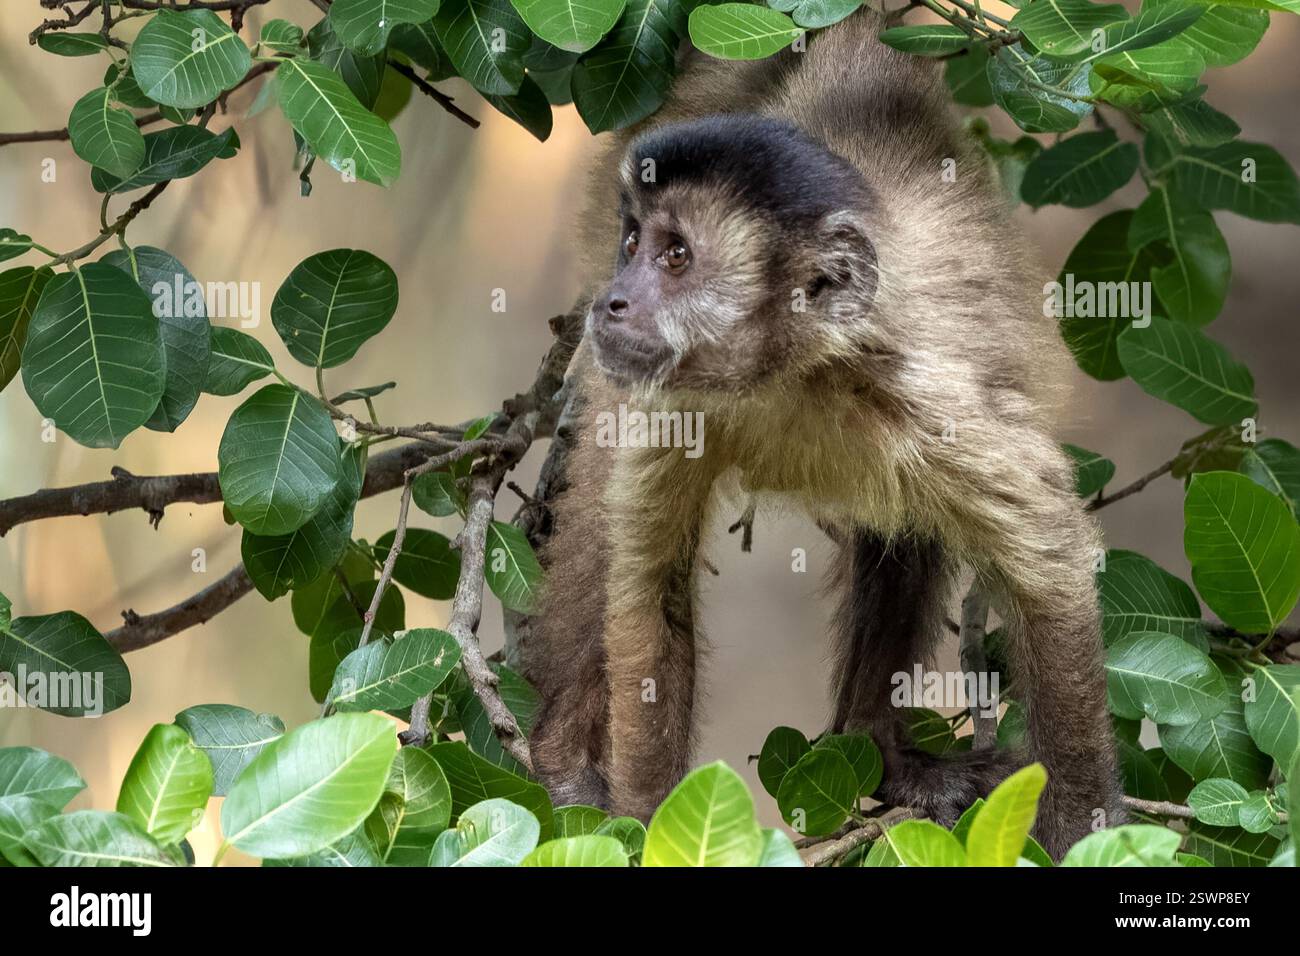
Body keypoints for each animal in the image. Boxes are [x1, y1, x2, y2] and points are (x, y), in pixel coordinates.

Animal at [523, 9, 1123, 859]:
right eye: (634, 244)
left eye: (677, 257)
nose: (614, 299)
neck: (798, 367)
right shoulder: (673, 396)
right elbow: (647, 584)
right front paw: (652, 823)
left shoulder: (937, 394)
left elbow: (1053, 572)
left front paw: (1078, 832)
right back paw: (563, 764)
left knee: (908, 521)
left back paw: (878, 750)